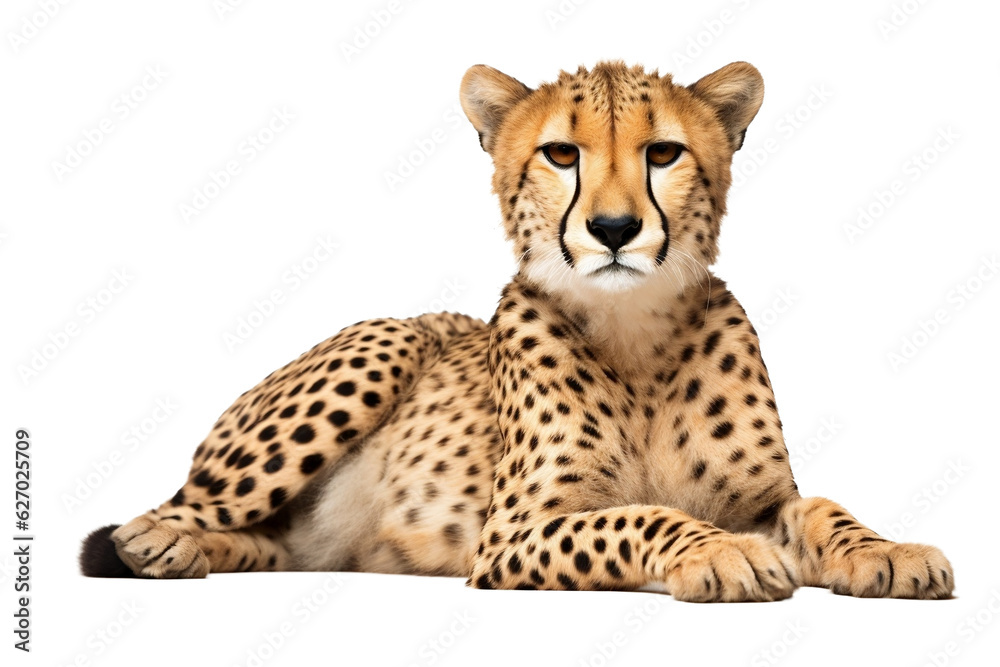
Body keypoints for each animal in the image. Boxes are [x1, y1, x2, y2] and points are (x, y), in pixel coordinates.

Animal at [79, 60, 954, 602]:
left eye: (664, 152)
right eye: (561, 153)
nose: (613, 229)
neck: (636, 336)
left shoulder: (767, 496)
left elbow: (824, 507)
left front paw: (888, 548)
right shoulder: (511, 533)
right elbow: (641, 514)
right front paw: (720, 549)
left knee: (268, 543)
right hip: (388, 342)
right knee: (176, 507)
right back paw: (162, 542)